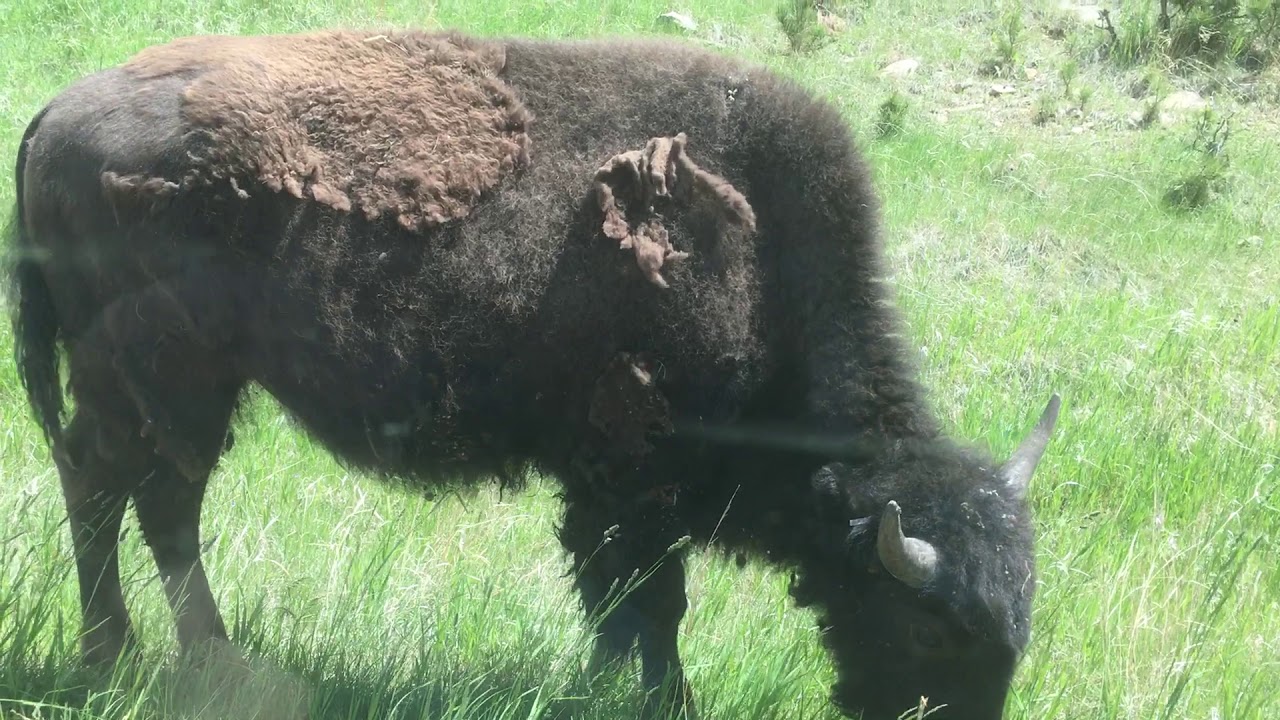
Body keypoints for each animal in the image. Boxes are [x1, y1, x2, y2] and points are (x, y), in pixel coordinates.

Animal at [5, 28, 1060, 719]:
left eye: (1022, 627)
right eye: (929, 631)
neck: (764, 265)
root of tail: (54, 115)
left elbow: (624, 605)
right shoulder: (631, 482)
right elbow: (648, 603)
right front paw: (667, 700)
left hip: (183, 389)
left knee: (148, 501)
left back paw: (188, 664)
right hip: (155, 379)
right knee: (119, 494)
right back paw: (134, 664)